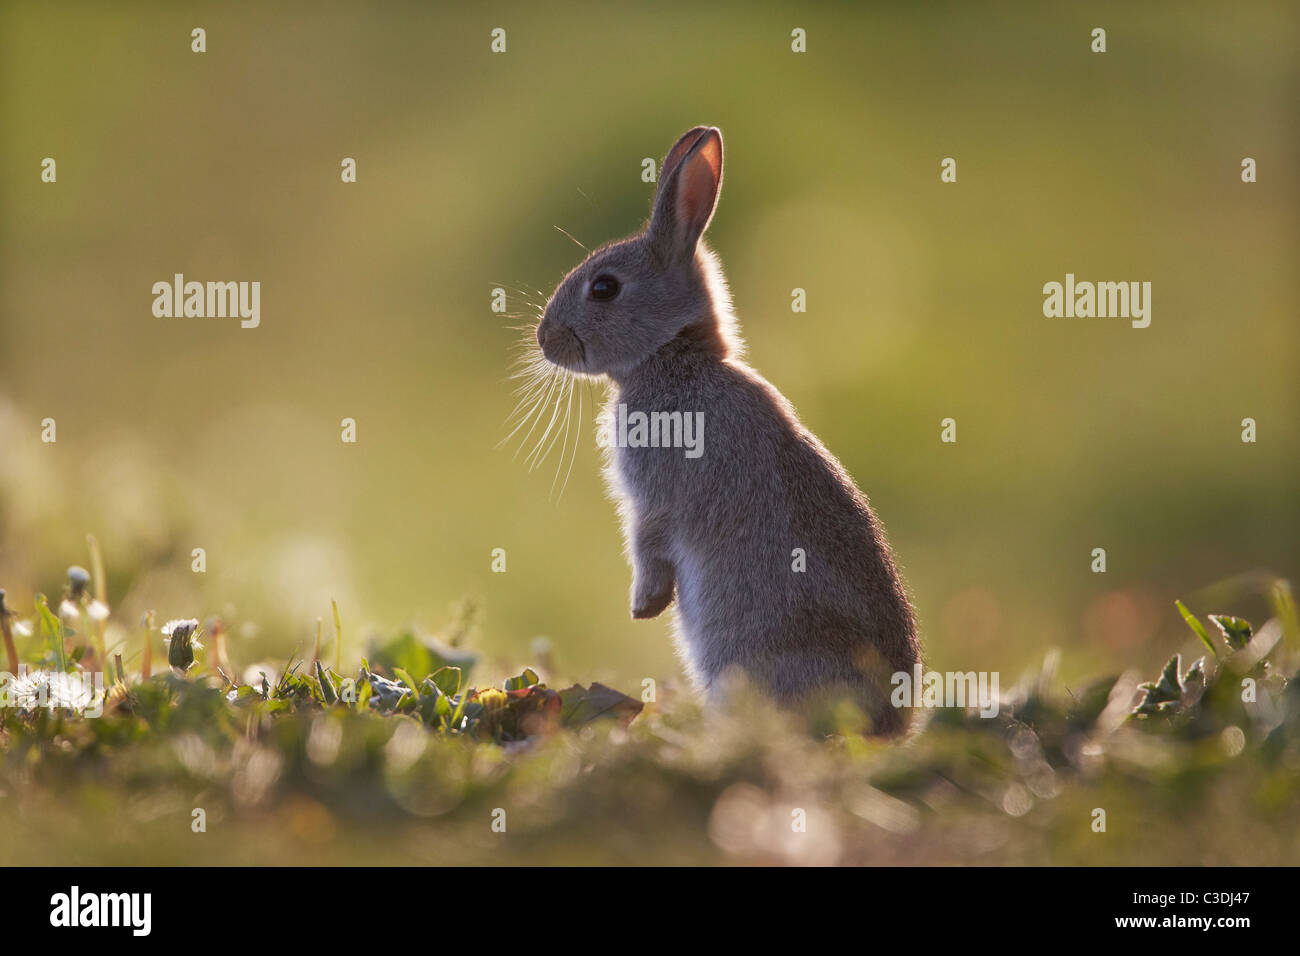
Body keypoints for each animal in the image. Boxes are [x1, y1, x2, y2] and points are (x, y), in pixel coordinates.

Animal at [535, 126, 921, 733]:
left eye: (604, 288)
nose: (544, 339)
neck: (675, 357)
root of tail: (888, 723)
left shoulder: (654, 498)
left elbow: (648, 543)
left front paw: (643, 607)